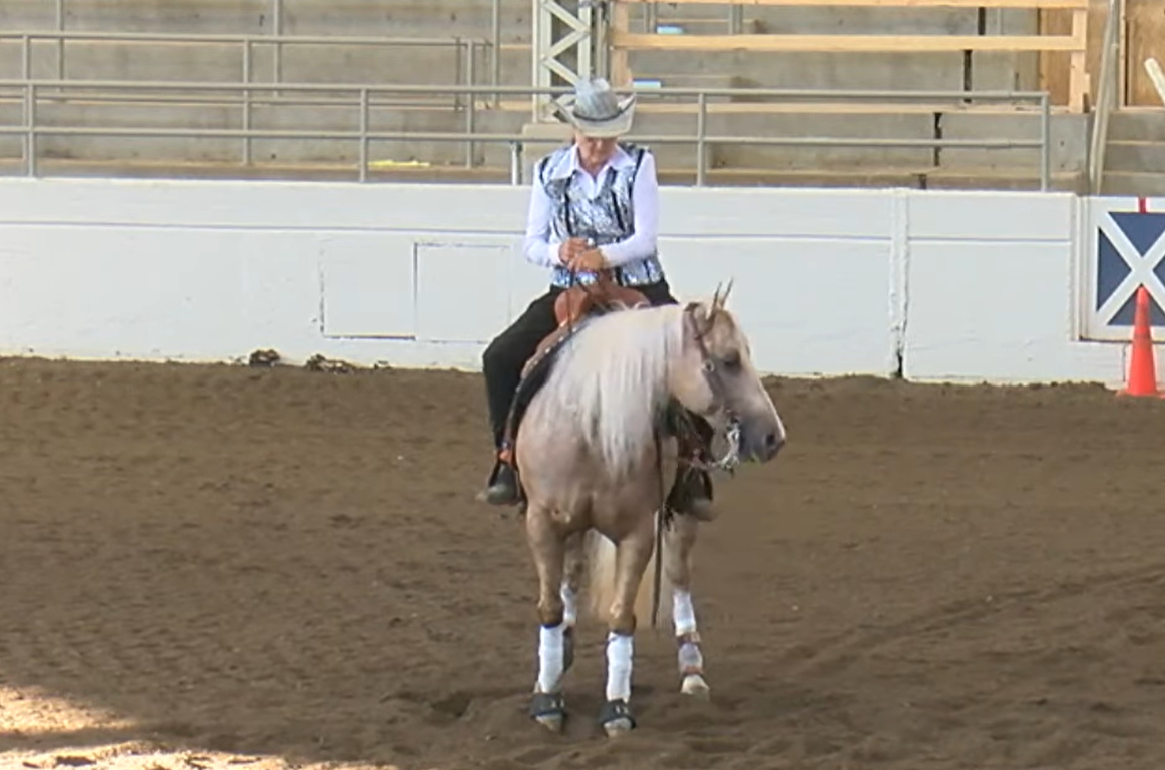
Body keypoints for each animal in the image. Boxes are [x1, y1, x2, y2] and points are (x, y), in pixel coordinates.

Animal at [510, 283, 787, 737]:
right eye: (729, 360)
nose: (773, 437)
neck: (593, 430)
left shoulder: (638, 533)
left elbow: (622, 617)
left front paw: (617, 709)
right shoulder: (542, 524)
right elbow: (549, 607)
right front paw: (547, 700)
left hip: (679, 516)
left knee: (678, 574)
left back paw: (692, 672)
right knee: (571, 574)